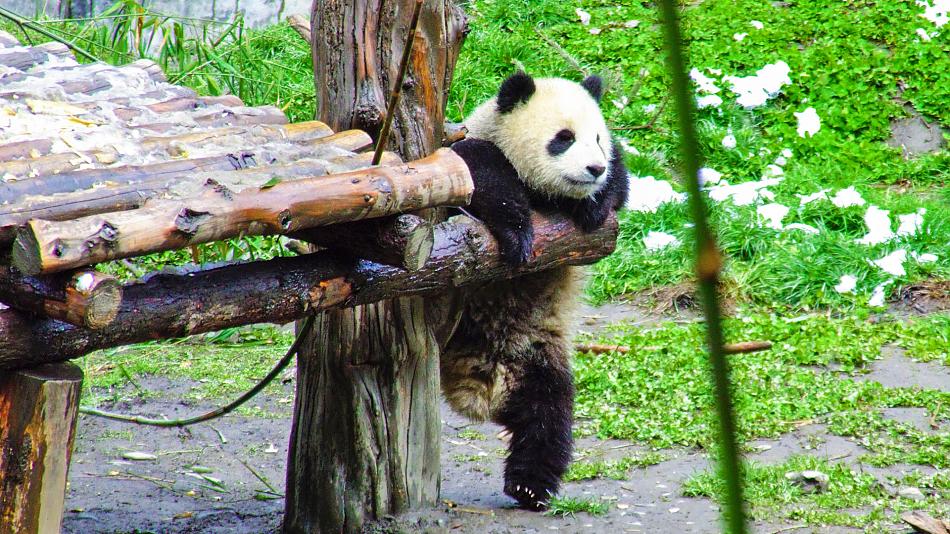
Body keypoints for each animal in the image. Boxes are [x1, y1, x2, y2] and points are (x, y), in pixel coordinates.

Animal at [443, 72, 629, 509]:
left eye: (598, 138)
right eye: (564, 138)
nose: (594, 168)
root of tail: (485, 387)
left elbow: (622, 182)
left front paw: (595, 204)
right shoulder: (474, 144)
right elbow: (477, 171)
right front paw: (518, 234)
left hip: (537, 351)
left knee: (548, 417)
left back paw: (531, 486)